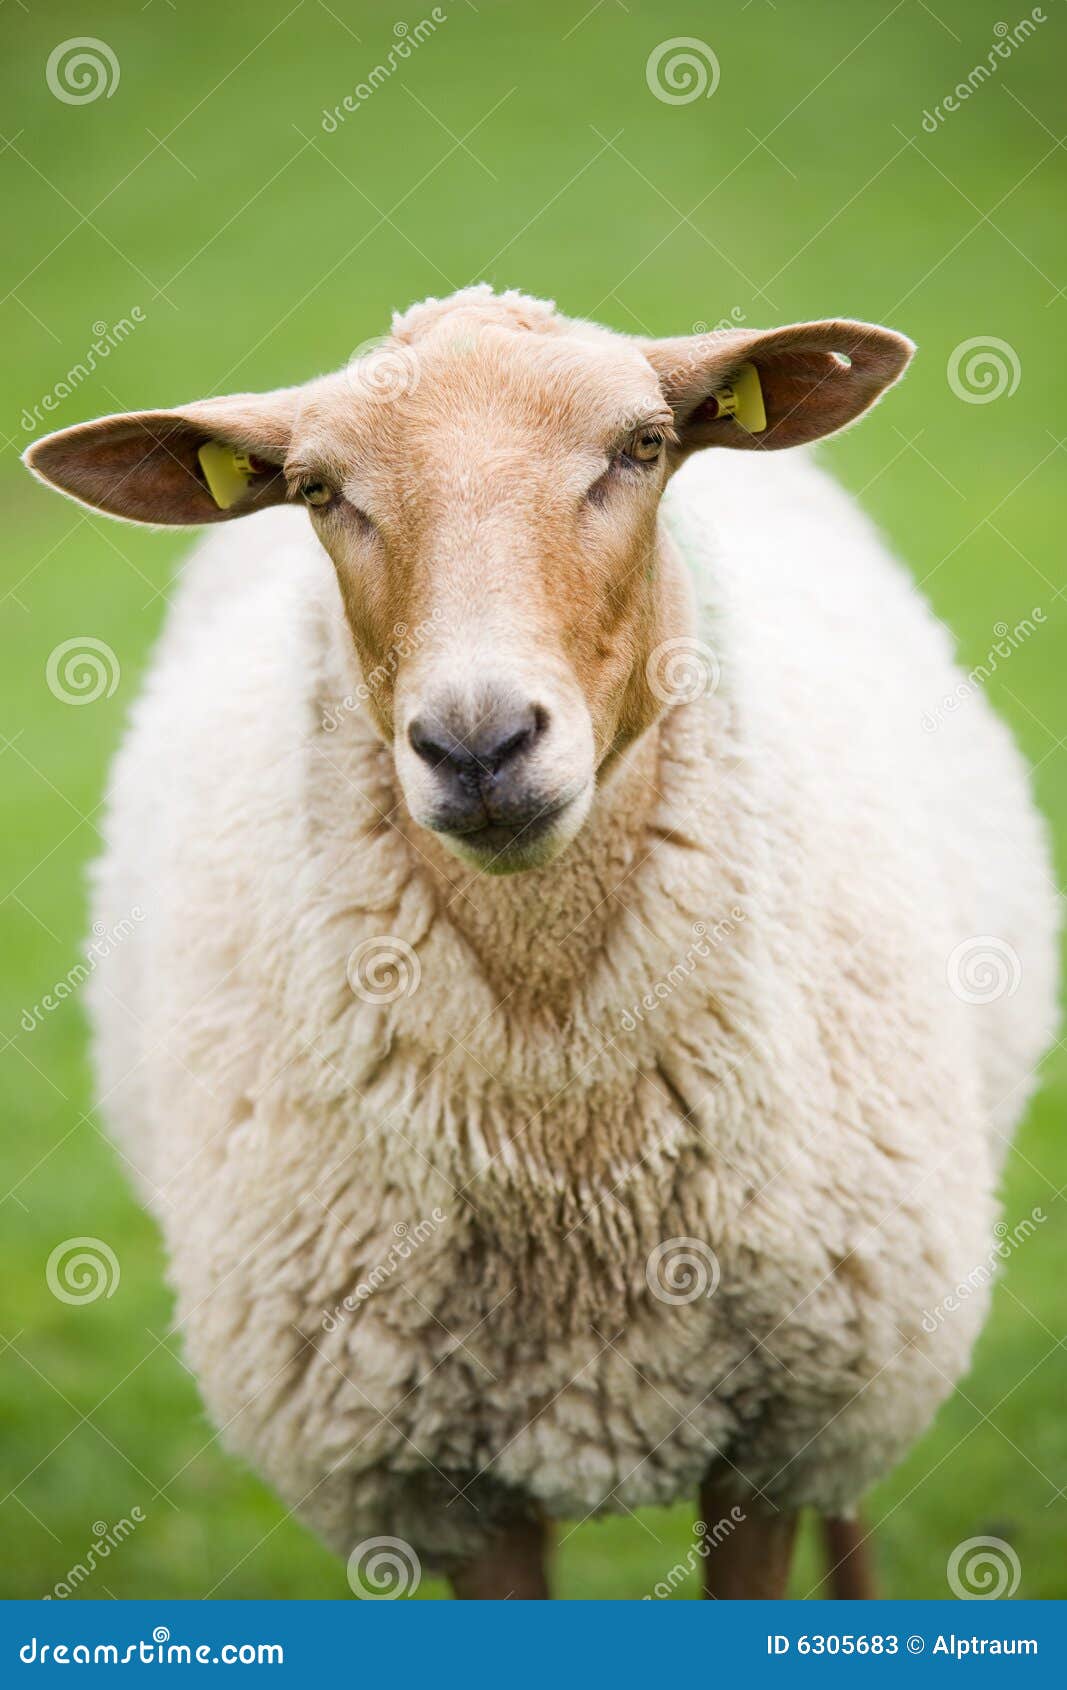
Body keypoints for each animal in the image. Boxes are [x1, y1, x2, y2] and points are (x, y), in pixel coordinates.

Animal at [25, 286, 1058, 1600]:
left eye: (642, 446)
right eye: (316, 489)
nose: (478, 744)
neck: (565, 1149)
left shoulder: (774, 1441)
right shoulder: (442, 1487)